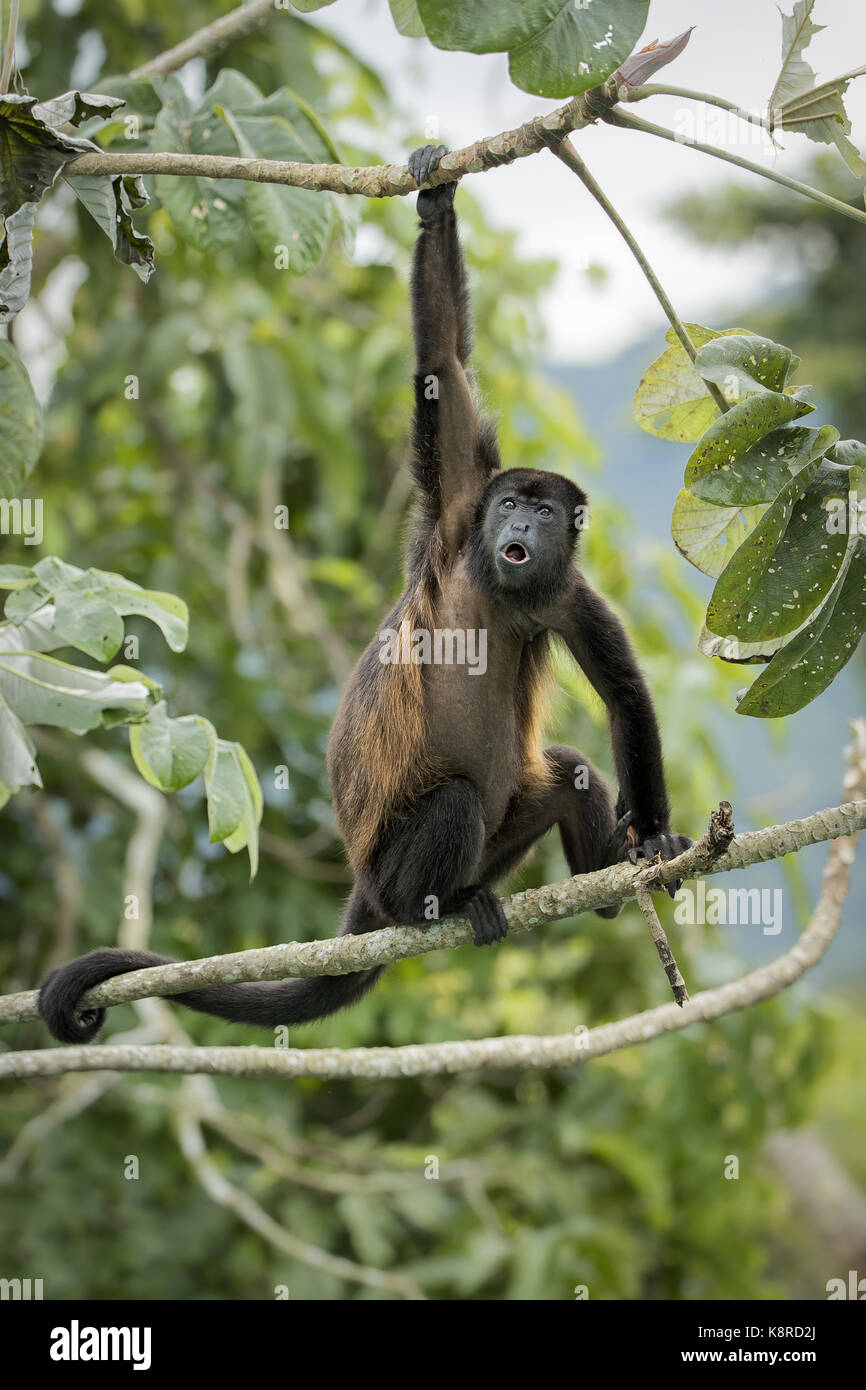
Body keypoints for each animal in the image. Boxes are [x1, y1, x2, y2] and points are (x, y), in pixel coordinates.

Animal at [38, 144, 692, 1045]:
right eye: (509, 502)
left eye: (544, 511)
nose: (520, 519)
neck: (500, 583)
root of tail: (363, 889)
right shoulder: (457, 515)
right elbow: (442, 364)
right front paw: (435, 198)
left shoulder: (565, 592)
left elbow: (624, 693)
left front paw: (653, 837)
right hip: (392, 867)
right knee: (454, 802)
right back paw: (439, 906)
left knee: (567, 770)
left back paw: (600, 883)